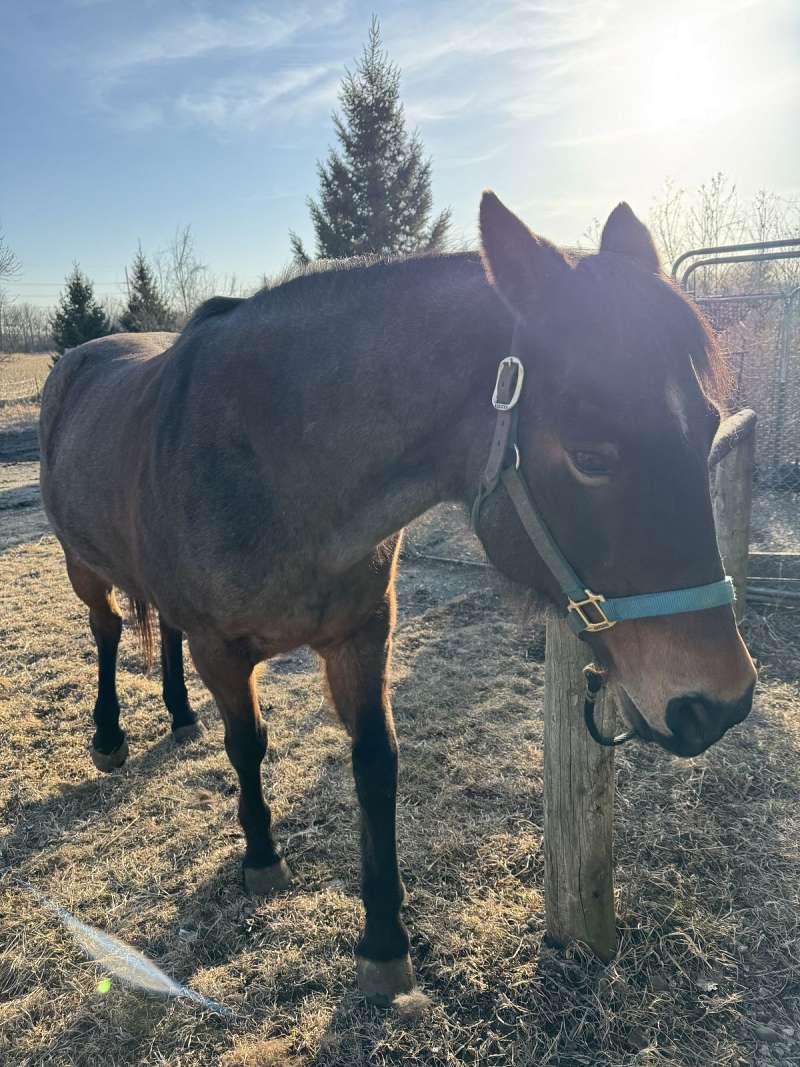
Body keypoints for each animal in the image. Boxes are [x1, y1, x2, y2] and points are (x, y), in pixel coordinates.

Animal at [39, 193, 757, 1005]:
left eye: (706, 427)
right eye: (591, 455)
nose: (720, 701)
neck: (271, 464)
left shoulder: (362, 636)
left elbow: (375, 765)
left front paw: (383, 942)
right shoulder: (223, 650)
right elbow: (248, 744)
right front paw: (261, 857)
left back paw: (180, 714)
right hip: (80, 565)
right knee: (104, 632)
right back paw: (109, 736)